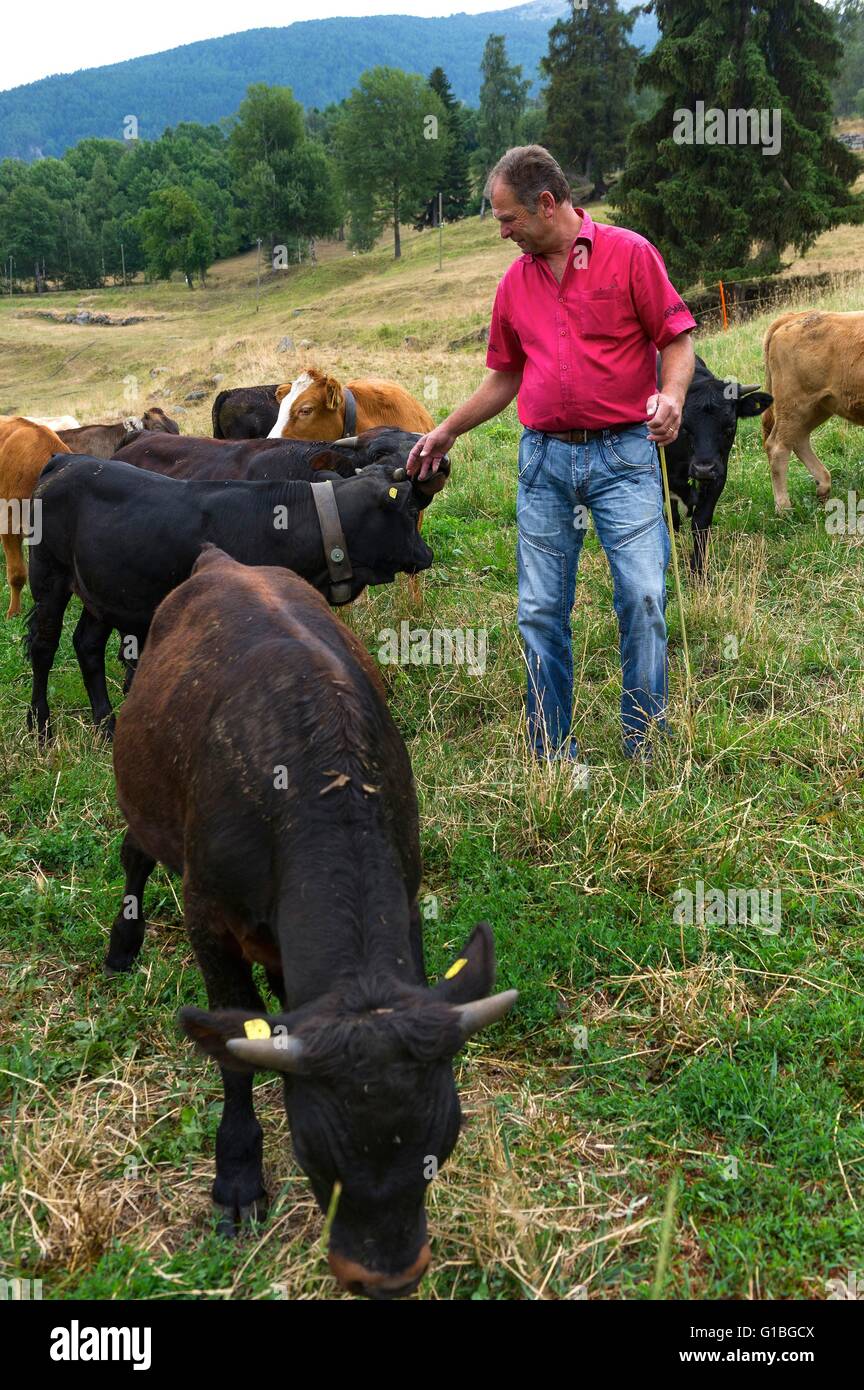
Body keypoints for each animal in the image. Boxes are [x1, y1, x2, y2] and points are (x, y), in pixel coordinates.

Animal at [26, 454, 441, 741]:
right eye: (409, 508)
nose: (428, 553)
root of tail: (66, 460)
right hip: (48, 576)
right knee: (43, 646)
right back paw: (40, 727)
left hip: (100, 591)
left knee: (87, 646)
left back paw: (106, 726)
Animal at [109, 545, 517, 1297]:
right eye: (311, 1149)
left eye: (442, 1141)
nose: (387, 1276)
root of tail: (218, 558)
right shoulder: (208, 920)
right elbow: (234, 1051)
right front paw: (238, 1176)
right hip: (145, 806)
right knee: (133, 855)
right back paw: (122, 947)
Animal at [661, 356, 773, 576]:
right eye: (684, 426)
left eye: (729, 426)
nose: (703, 469)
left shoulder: (718, 474)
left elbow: (701, 522)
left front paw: (698, 572)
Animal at [761, 310, 864, 513]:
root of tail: (793, 315)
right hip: (794, 405)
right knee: (778, 446)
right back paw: (784, 508)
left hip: (817, 406)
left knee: (798, 439)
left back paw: (823, 485)